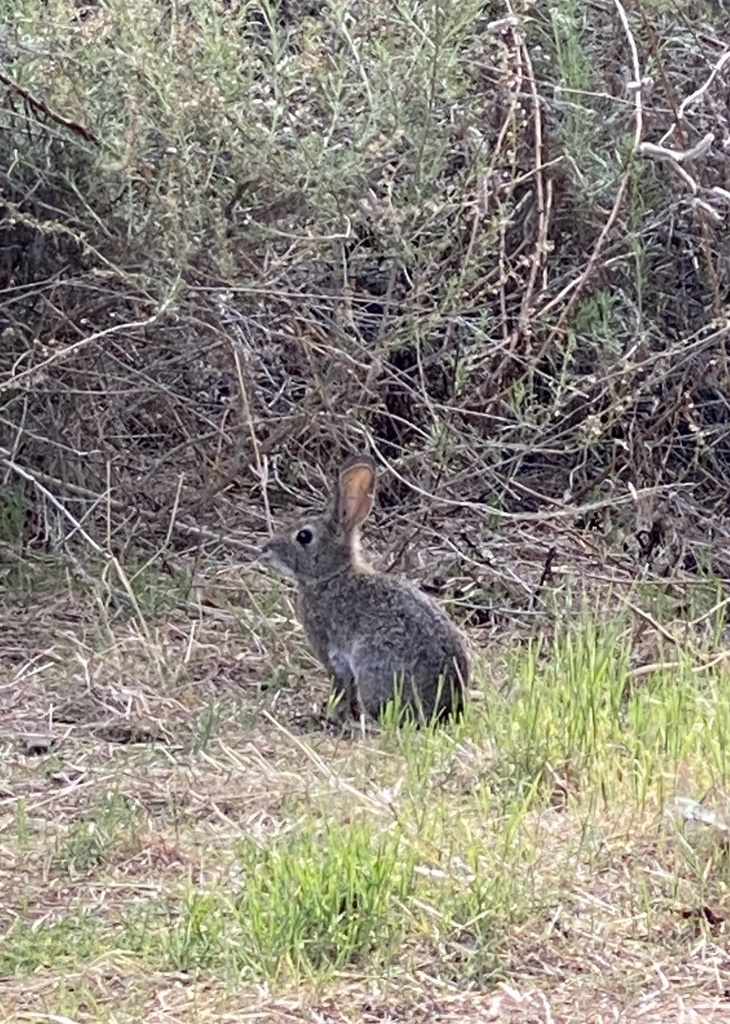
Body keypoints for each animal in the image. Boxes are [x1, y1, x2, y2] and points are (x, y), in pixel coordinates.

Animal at [259, 455, 468, 723]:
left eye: (304, 536)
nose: (266, 550)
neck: (333, 574)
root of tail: (446, 707)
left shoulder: (330, 653)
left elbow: (340, 687)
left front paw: (332, 716)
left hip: (373, 664)